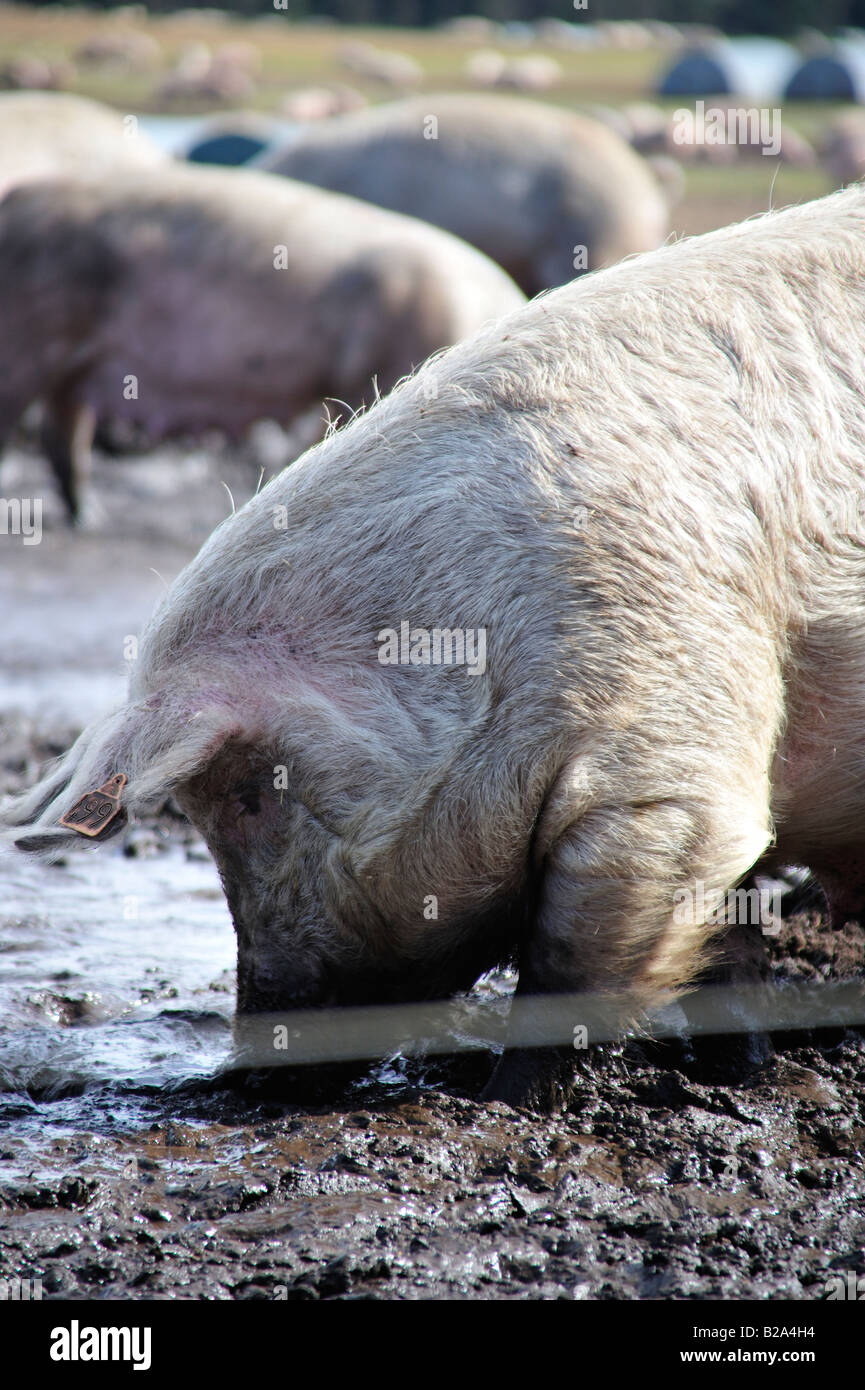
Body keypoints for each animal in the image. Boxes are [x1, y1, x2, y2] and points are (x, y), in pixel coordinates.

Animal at [0, 161, 524, 520]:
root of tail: (12, 204)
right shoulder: (377, 372)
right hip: (28, 336)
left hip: (73, 365)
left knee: (63, 434)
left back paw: (89, 518)